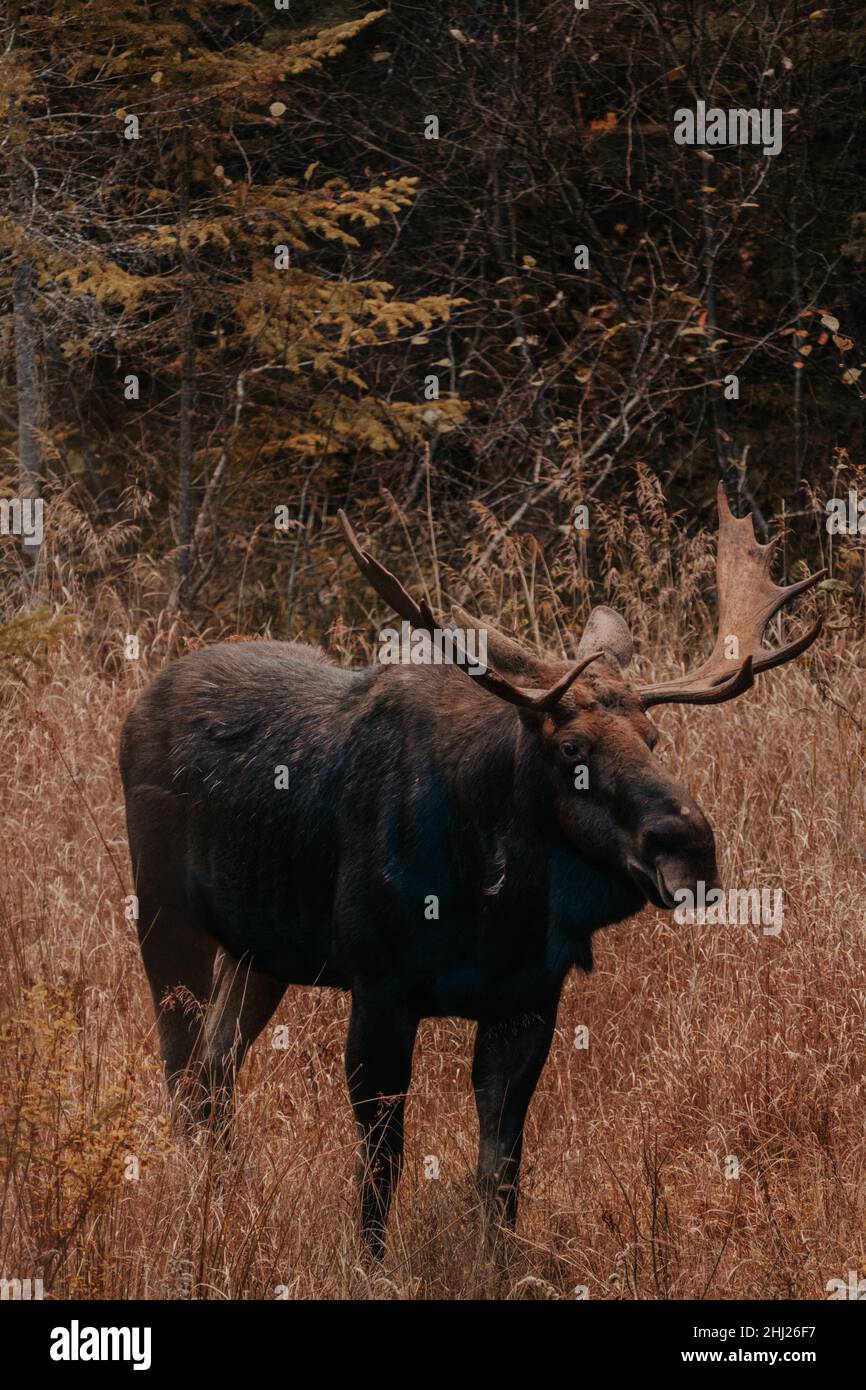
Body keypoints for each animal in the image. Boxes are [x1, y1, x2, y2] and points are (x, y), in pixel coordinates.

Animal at [119, 485, 822, 1257]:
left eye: (654, 737)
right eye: (571, 746)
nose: (690, 846)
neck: (500, 904)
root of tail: (138, 707)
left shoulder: (529, 1000)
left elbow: (500, 1175)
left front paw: (499, 1265)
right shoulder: (380, 987)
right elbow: (381, 1166)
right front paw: (369, 1264)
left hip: (261, 951)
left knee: (215, 1069)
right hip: (164, 916)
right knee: (182, 1070)